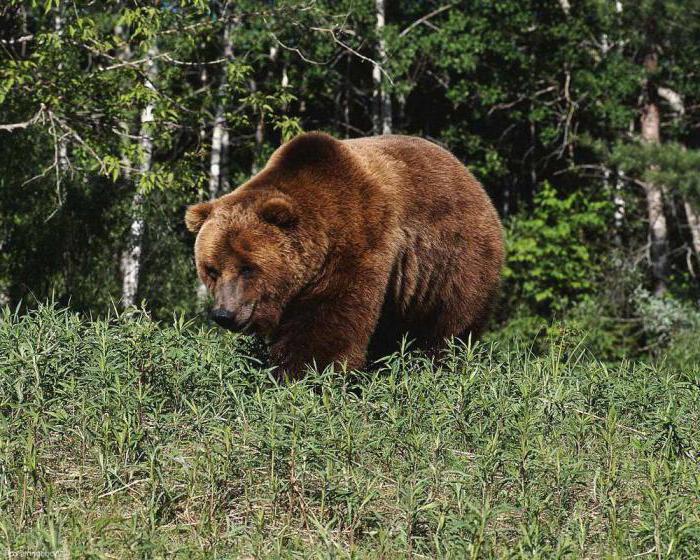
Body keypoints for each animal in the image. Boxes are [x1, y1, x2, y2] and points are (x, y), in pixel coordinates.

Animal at [186, 132, 504, 376]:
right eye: (211, 269)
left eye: (248, 267)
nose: (224, 314)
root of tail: (474, 181)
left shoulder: (357, 245)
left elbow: (328, 325)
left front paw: (302, 375)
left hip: (454, 264)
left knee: (448, 327)